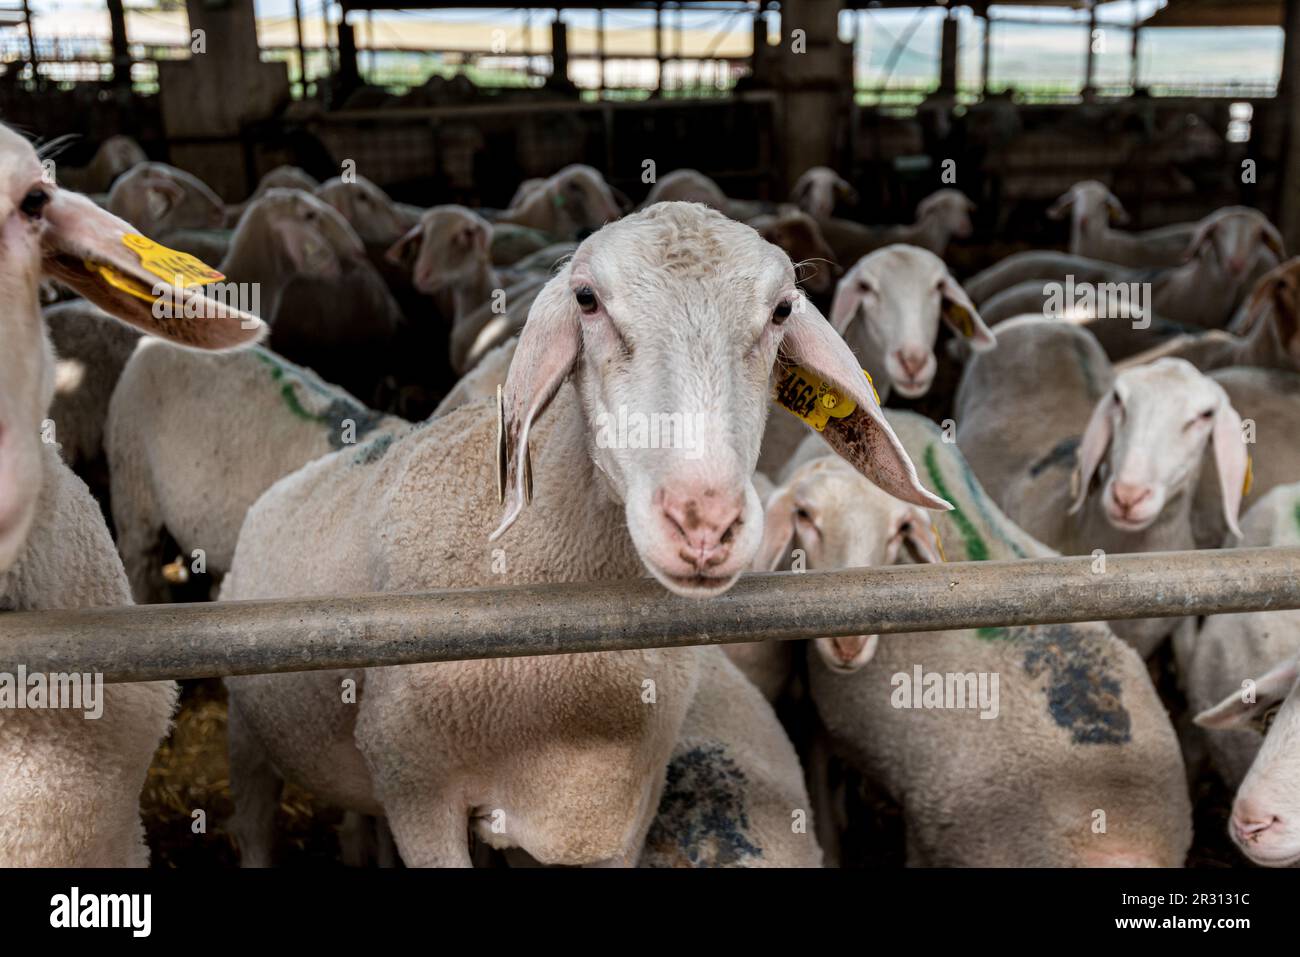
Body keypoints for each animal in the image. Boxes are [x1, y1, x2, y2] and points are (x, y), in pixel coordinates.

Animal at [219, 201, 947, 868]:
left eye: (781, 310)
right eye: (587, 300)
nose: (703, 520)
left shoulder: (621, 806)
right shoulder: (414, 787)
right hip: (250, 726)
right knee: (252, 822)